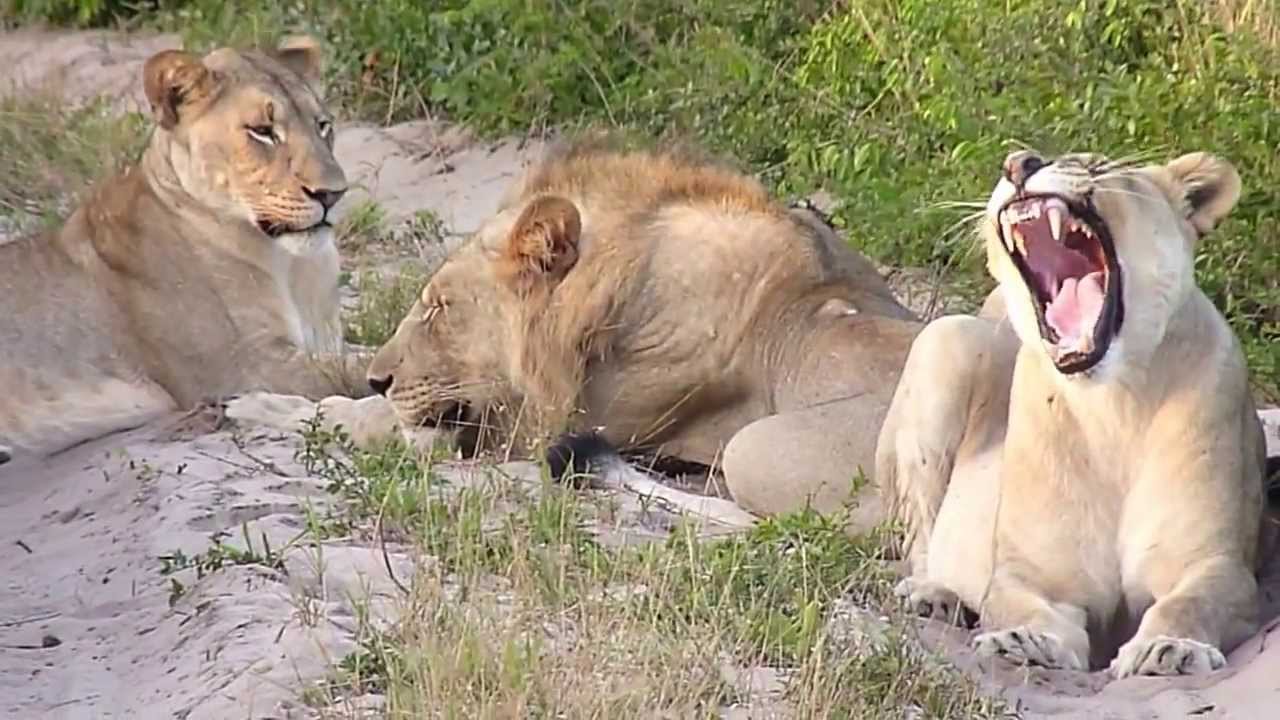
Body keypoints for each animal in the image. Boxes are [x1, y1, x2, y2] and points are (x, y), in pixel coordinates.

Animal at [0, 36, 369, 467]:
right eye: (262, 132)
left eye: (322, 125)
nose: (333, 194)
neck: (292, 266)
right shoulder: (245, 369)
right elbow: (356, 369)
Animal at [229, 139, 923, 527]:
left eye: (438, 307)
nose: (380, 375)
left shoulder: (541, 424)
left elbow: (375, 421)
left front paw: (263, 406)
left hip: (757, 448)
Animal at [876, 148, 1275, 678]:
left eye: (1095, 164)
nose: (1018, 163)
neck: (1113, 406)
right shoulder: (1031, 575)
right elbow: (1019, 605)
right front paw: (1024, 642)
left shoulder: (1216, 564)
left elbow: (1188, 604)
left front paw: (1169, 648)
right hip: (945, 339)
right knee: (920, 539)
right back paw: (933, 595)